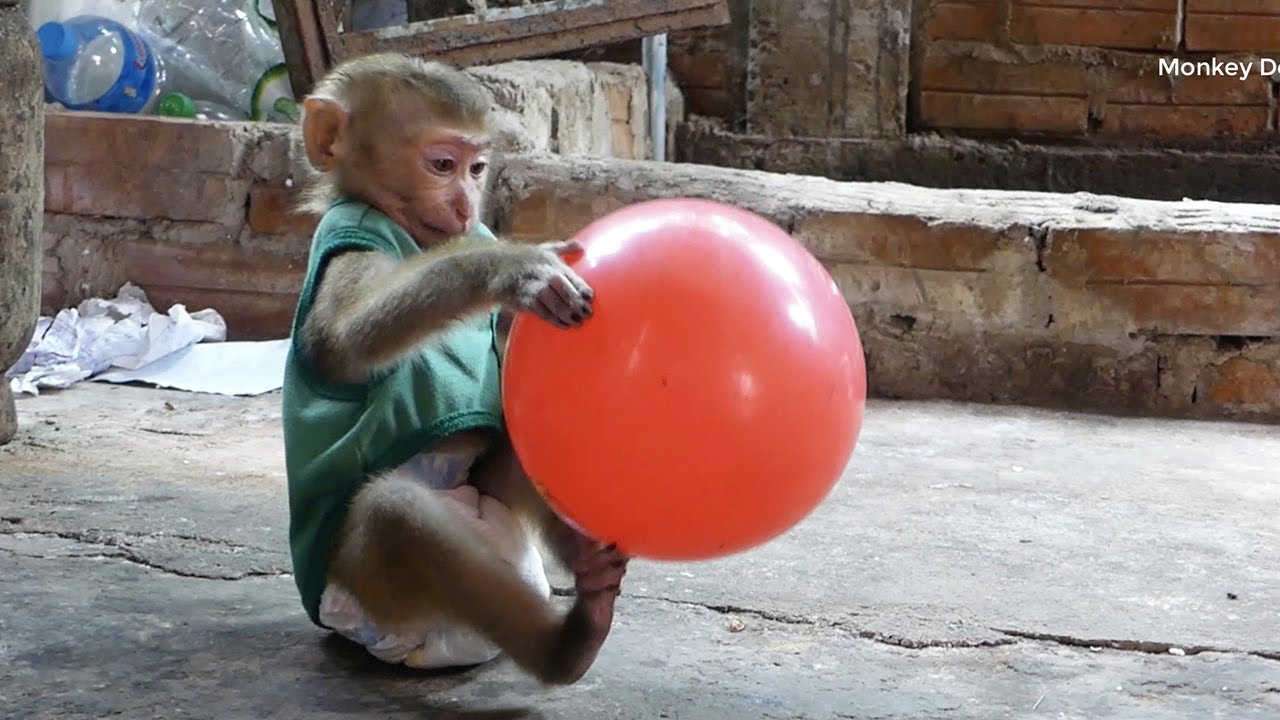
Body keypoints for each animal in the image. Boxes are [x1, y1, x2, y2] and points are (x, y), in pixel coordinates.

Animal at [280, 52, 628, 686]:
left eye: (477, 169)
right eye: (442, 165)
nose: (467, 205)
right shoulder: (352, 233)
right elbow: (341, 341)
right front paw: (511, 267)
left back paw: (591, 576)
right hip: (359, 601)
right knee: (394, 518)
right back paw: (567, 644)